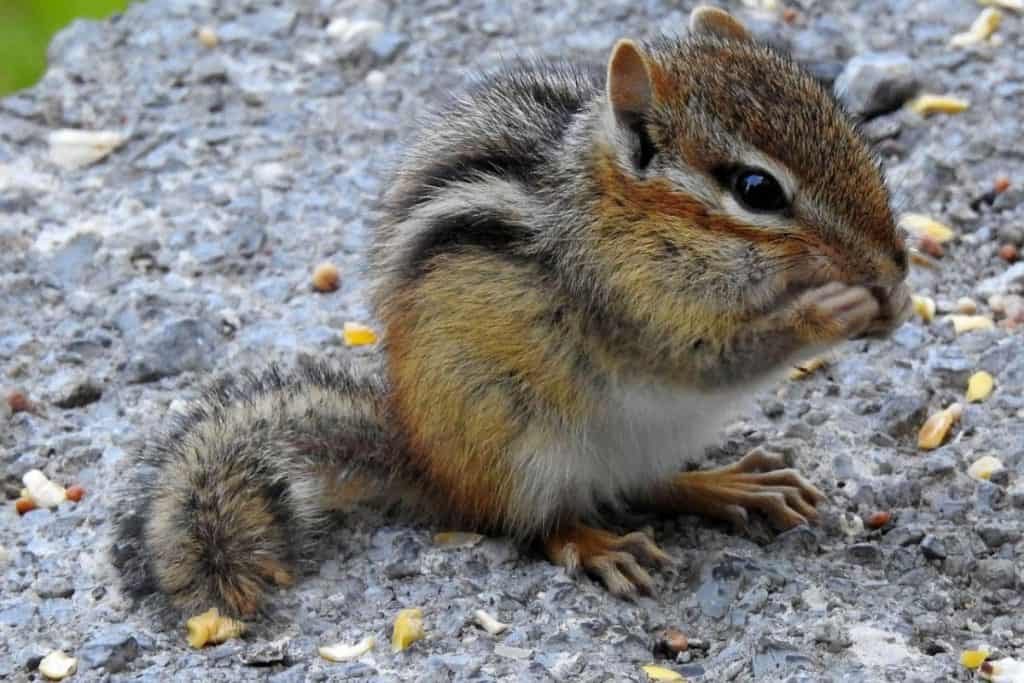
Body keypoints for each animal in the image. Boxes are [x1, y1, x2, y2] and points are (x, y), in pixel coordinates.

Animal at [113, 6, 912, 618]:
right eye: (756, 189)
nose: (893, 267)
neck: (625, 214)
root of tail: (428, 458)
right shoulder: (627, 304)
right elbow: (708, 355)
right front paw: (832, 309)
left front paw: (893, 301)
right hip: (524, 445)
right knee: (538, 522)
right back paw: (597, 544)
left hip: (646, 438)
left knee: (646, 482)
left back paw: (728, 483)